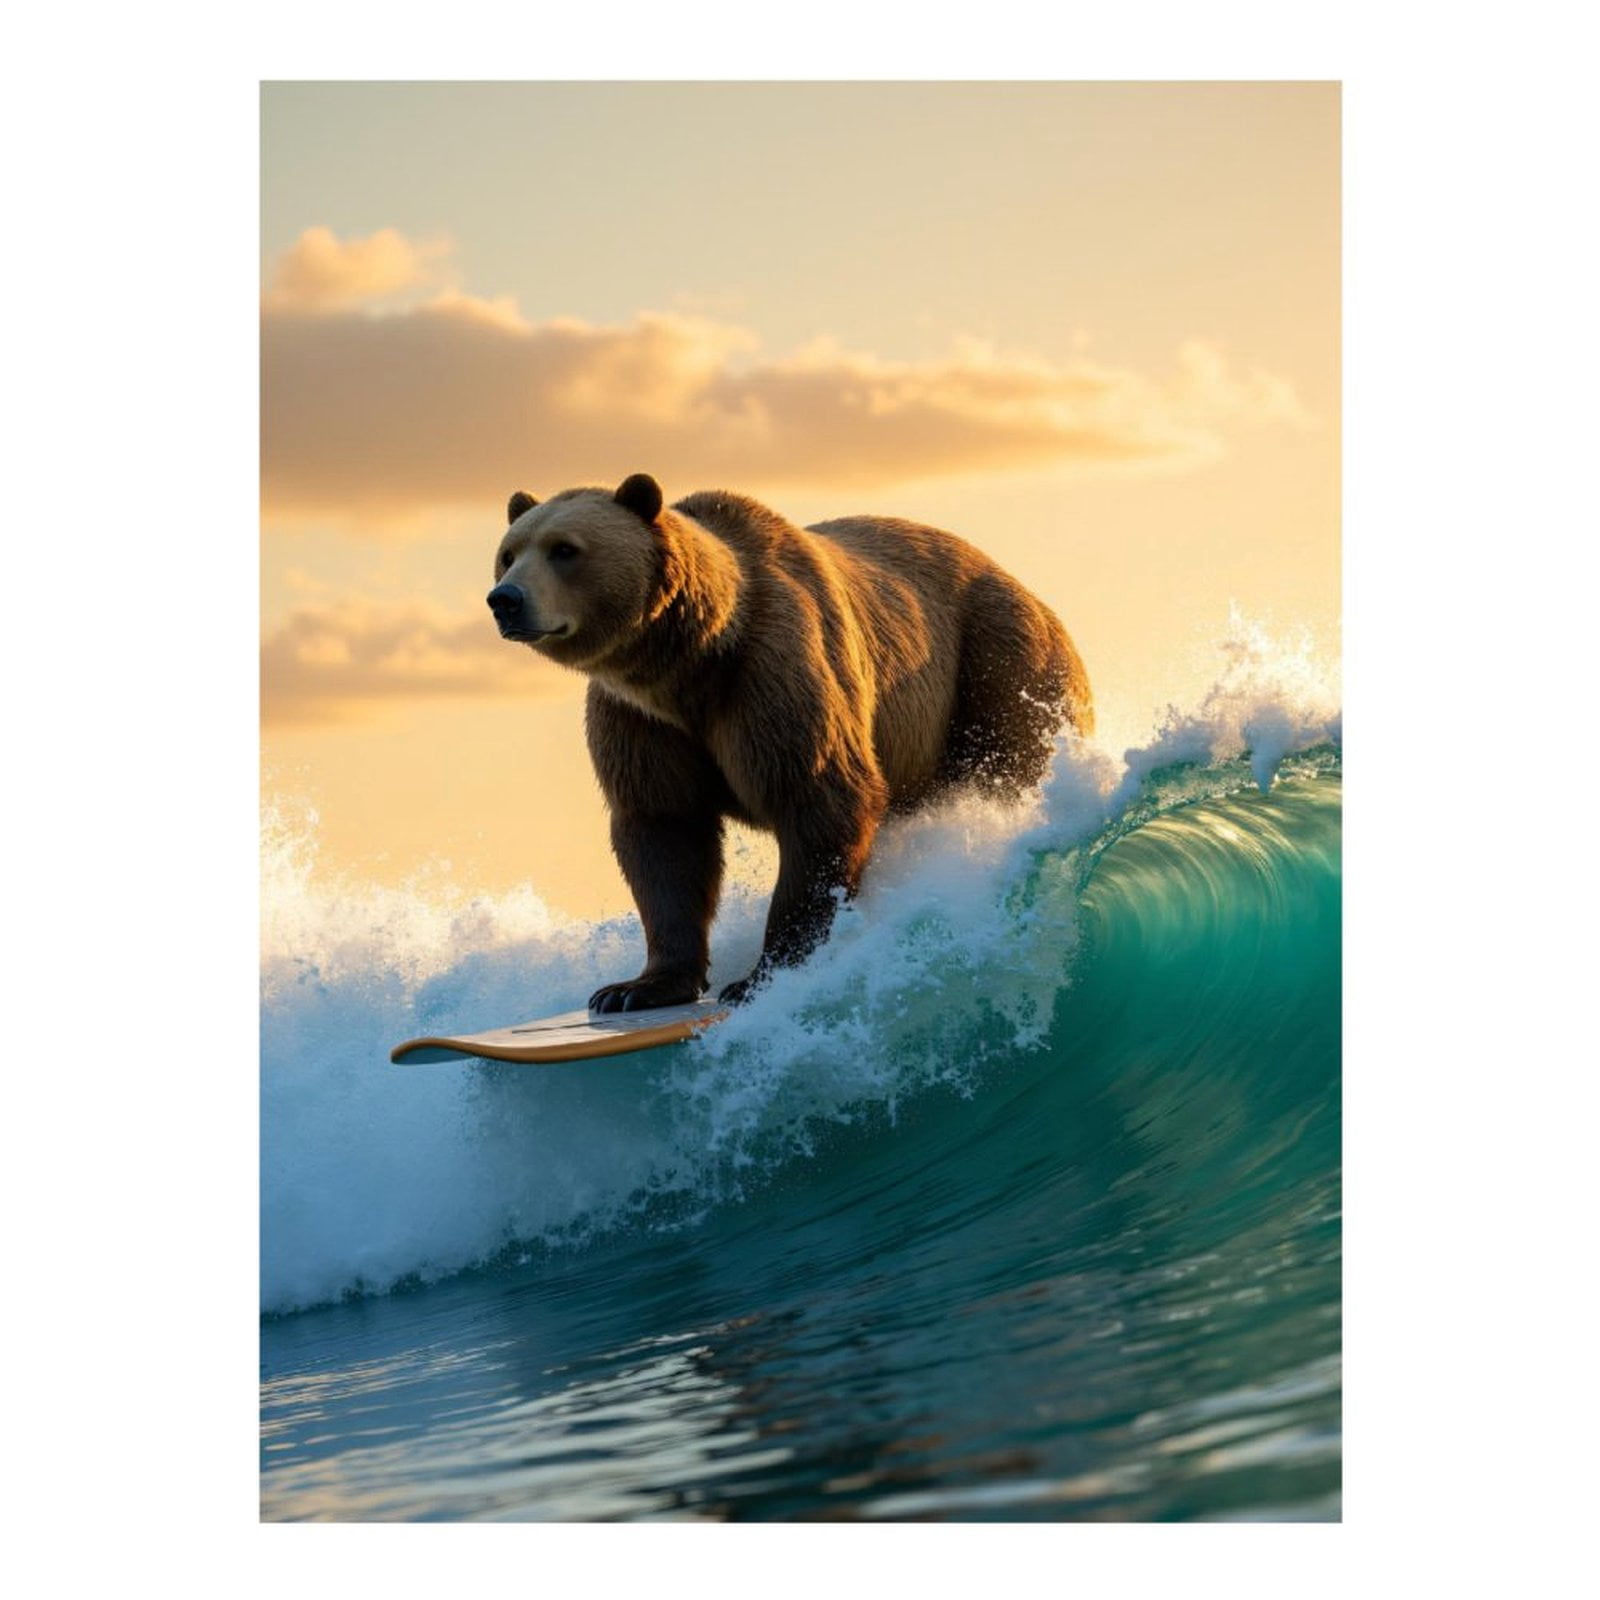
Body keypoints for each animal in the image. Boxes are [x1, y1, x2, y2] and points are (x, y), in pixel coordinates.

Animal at [486, 473, 1092, 1011]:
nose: (505, 599)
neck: (686, 663)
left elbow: (818, 799)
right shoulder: (641, 721)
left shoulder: (776, 673)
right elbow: (663, 831)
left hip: (996, 665)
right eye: (508, 552)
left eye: (565, 549)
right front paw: (636, 988)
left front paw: (762, 974)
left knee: (1012, 760)